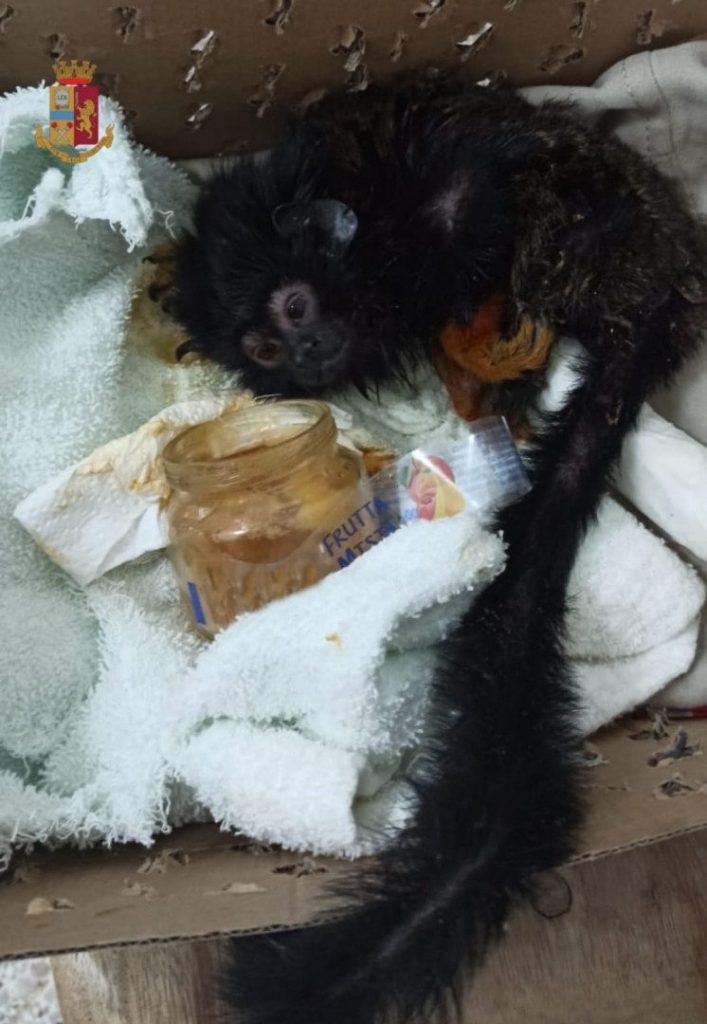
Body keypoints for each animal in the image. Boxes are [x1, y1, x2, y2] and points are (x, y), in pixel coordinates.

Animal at [172, 71, 707, 1024]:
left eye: (295, 308)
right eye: (270, 344)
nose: (310, 351)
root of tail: (653, 297)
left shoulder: (427, 183)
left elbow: (477, 193)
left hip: (606, 226)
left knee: (544, 205)